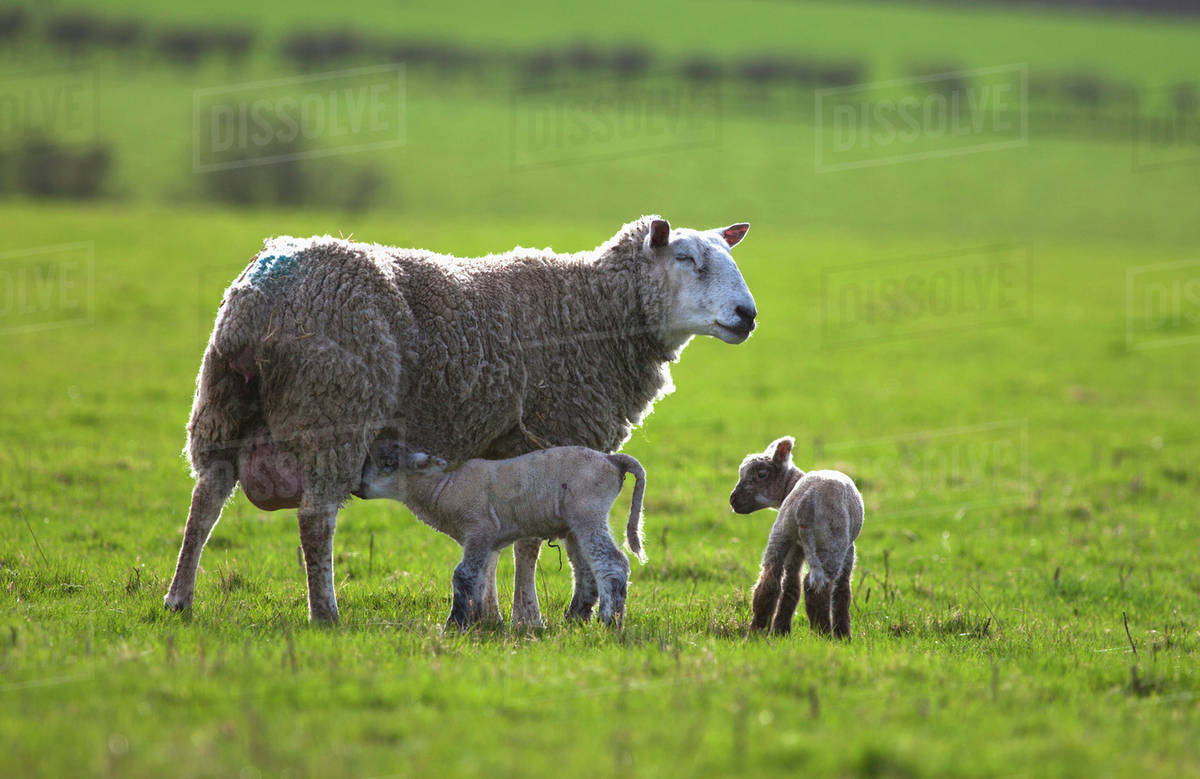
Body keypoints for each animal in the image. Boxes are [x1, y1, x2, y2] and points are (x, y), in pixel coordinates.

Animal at [355, 442, 647, 628]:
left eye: (388, 463)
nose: (357, 487)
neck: (443, 487)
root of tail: (611, 460)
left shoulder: (479, 529)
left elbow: (463, 574)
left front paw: (454, 624)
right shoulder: (484, 541)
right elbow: (481, 579)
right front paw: (477, 621)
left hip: (588, 511)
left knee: (612, 563)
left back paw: (609, 622)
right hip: (574, 523)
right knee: (585, 571)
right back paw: (575, 619)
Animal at [729, 437, 864, 640]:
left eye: (762, 474)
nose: (733, 500)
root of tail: (805, 504)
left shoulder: (796, 547)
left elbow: (790, 586)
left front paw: (780, 631)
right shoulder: (849, 550)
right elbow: (843, 590)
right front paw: (844, 636)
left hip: (782, 532)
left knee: (769, 581)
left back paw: (757, 633)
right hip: (833, 541)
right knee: (817, 588)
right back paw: (823, 635)